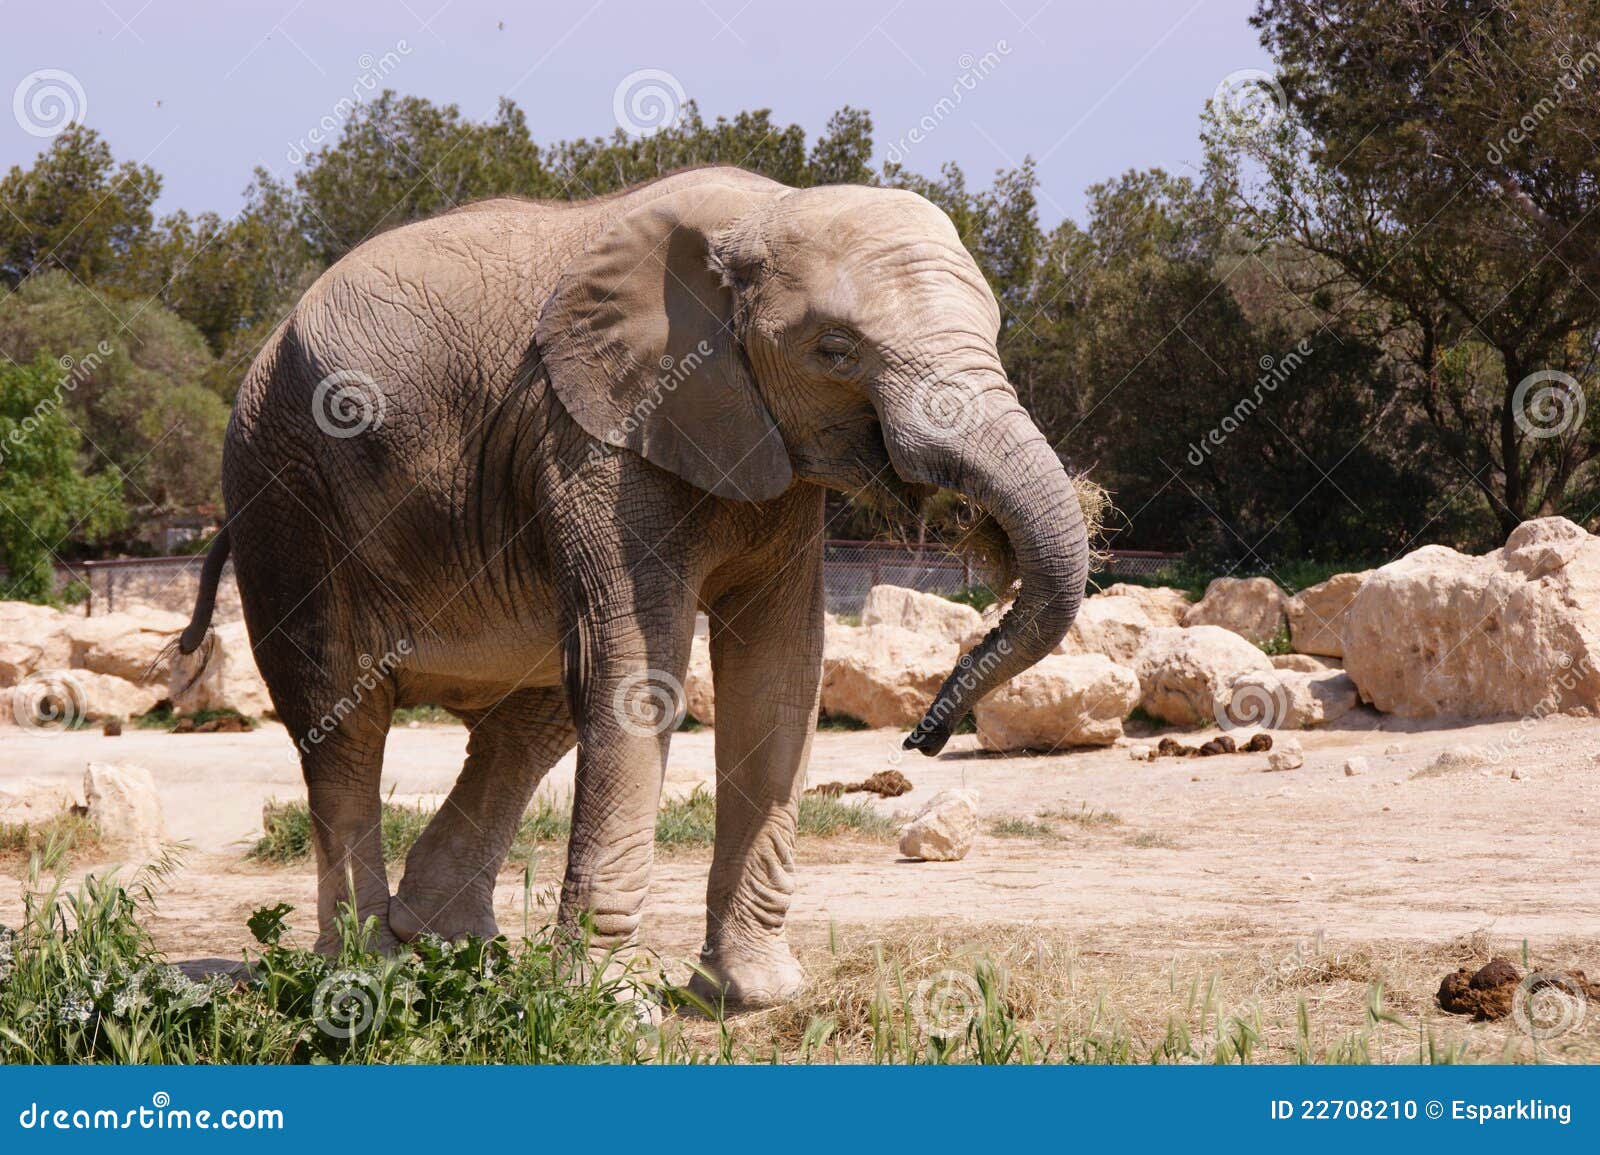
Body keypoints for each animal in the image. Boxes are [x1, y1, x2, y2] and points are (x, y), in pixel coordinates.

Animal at [176, 165, 1089, 1007]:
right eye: (835, 350)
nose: (920, 739)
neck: (763, 208)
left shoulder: (770, 464)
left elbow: (779, 677)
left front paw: (753, 994)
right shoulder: (592, 439)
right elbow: (638, 672)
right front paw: (612, 1006)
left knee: (531, 715)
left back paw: (452, 949)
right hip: (283, 494)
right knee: (345, 718)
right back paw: (370, 973)